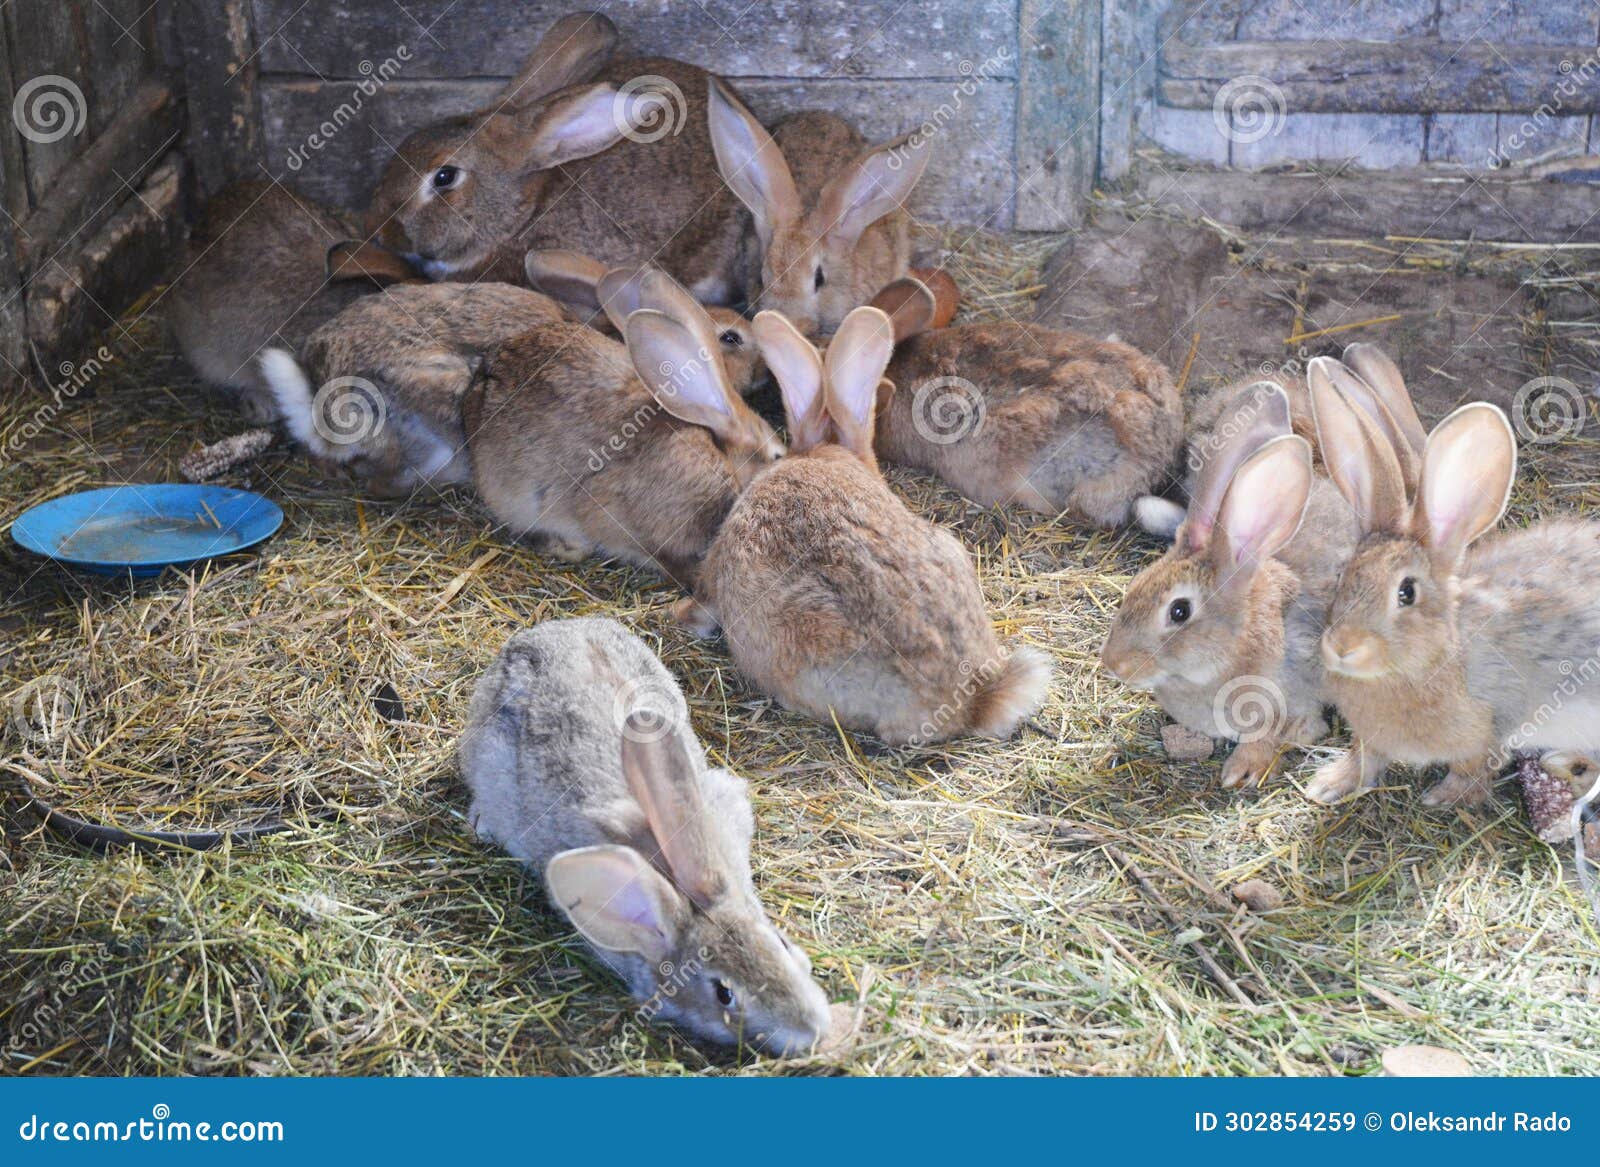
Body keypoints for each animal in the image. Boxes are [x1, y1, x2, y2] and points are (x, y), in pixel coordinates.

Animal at [1303, 358, 1600, 807]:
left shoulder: (1487, 727)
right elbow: (1365, 758)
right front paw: (1329, 783)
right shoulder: (1370, 737)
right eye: (1343, 575)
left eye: (1406, 593)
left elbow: (1474, 767)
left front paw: (1445, 797)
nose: (1343, 647)